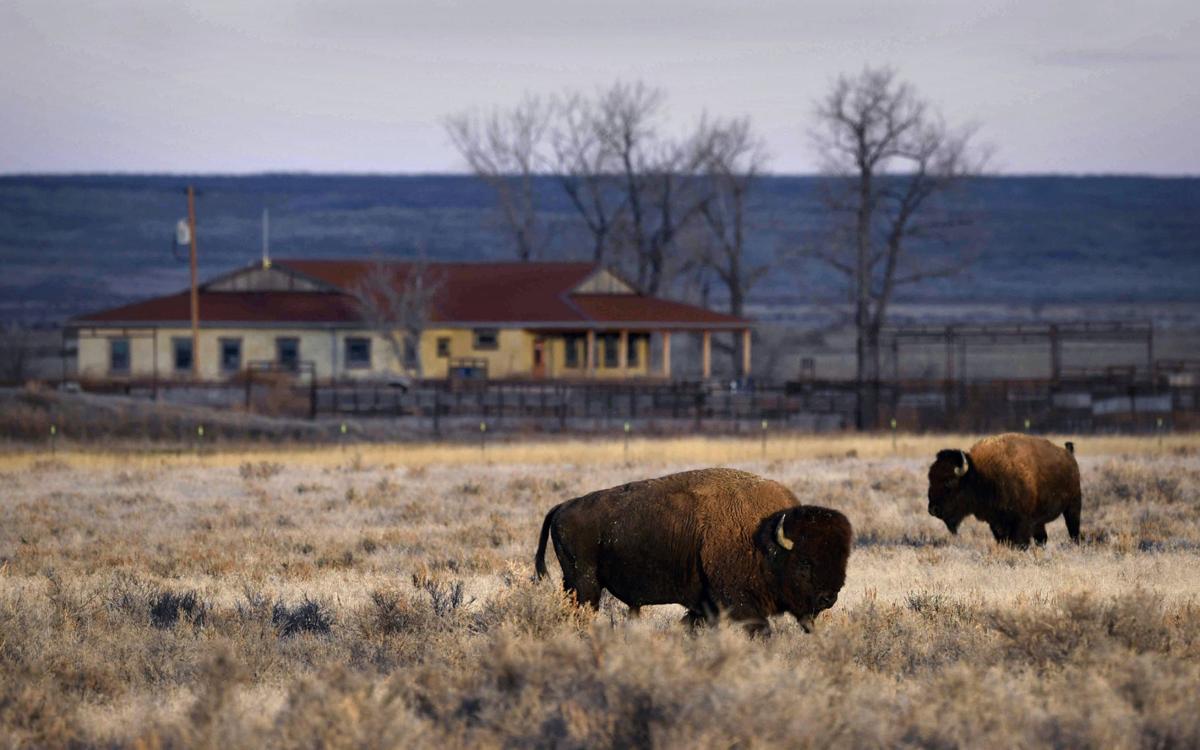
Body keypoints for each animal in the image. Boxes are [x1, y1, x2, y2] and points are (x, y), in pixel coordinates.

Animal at [534, 468, 852, 635]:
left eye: (843, 560)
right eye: (805, 562)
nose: (828, 598)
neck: (765, 539)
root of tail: (563, 506)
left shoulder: (704, 605)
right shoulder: (739, 602)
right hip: (586, 584)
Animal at [927, 433, 1082, 547]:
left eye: (949, 482)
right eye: (930, 479)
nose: (933, 509)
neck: (981, 474)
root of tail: (1069, 455)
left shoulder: (1021, 522)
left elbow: (1019, 542)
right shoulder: (996, 522)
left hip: (1073, 507)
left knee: (1073, 530)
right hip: (1040, 521)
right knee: (1042, 538)